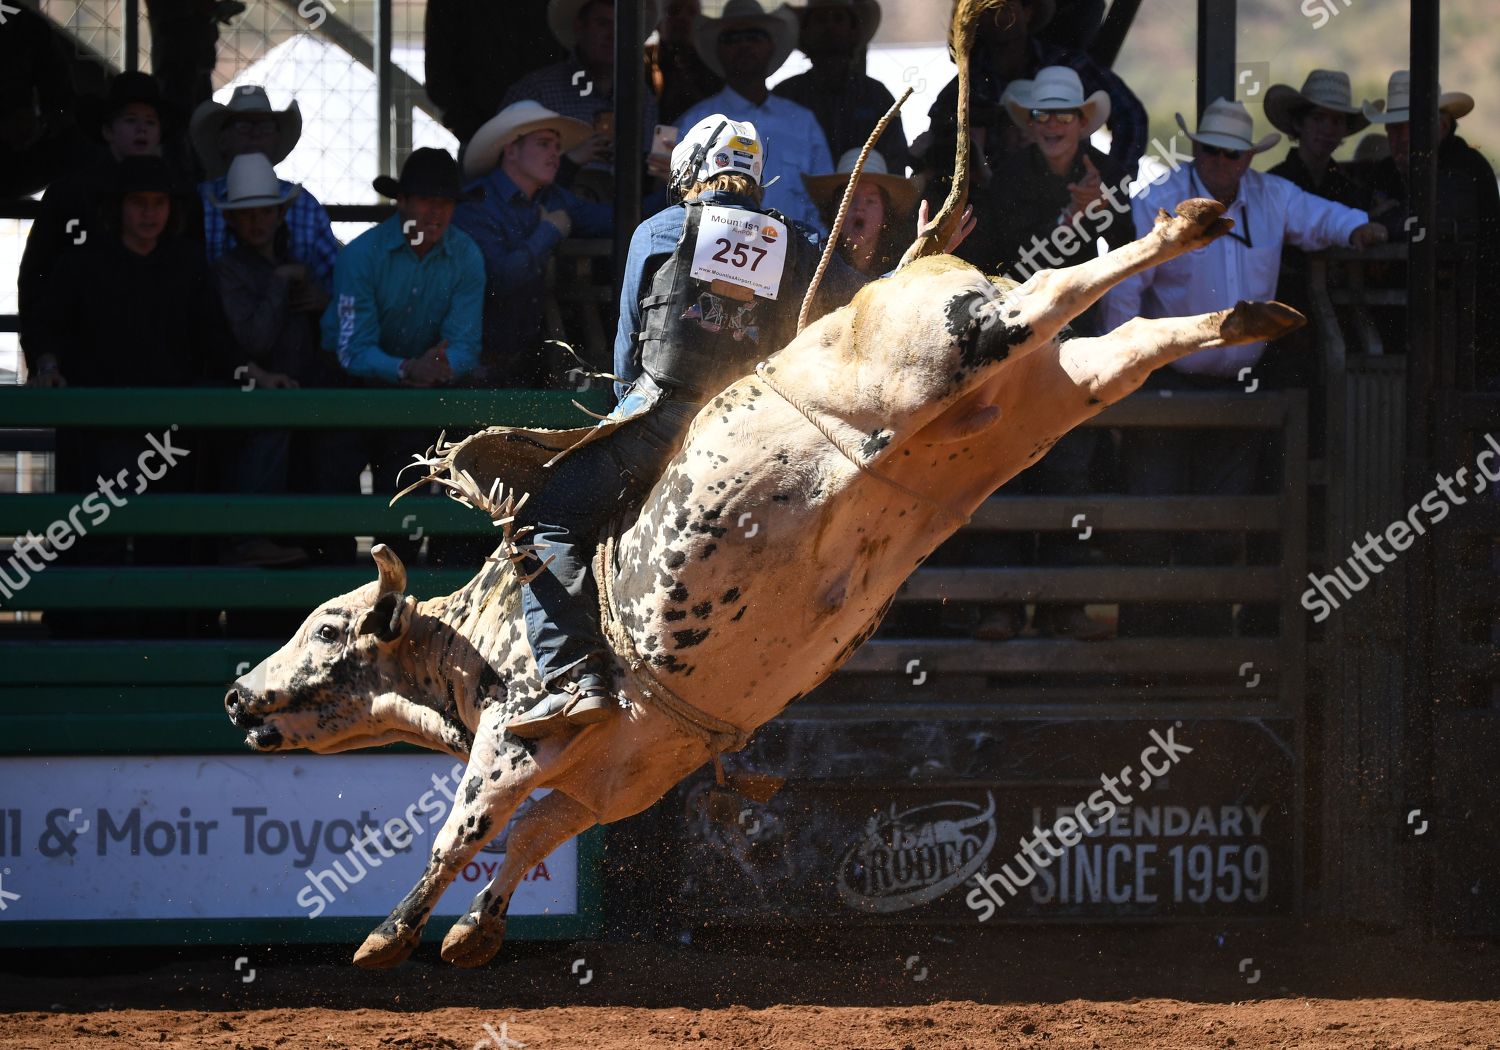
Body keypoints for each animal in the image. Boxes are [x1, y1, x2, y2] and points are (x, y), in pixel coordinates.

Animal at [225, 194, 1302, 969]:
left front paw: (387, 935)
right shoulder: (615, 780)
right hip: (1043, 399)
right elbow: (533, 837)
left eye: (326, 630)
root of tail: (915, 273)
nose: (237, 693)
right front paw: (473, 933)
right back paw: (1242, 307)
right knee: (1124, 347)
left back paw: (1187, 227)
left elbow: (467, 830)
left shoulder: (512, 737)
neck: (471, 642)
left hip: (950, 349)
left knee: (1047, 294)